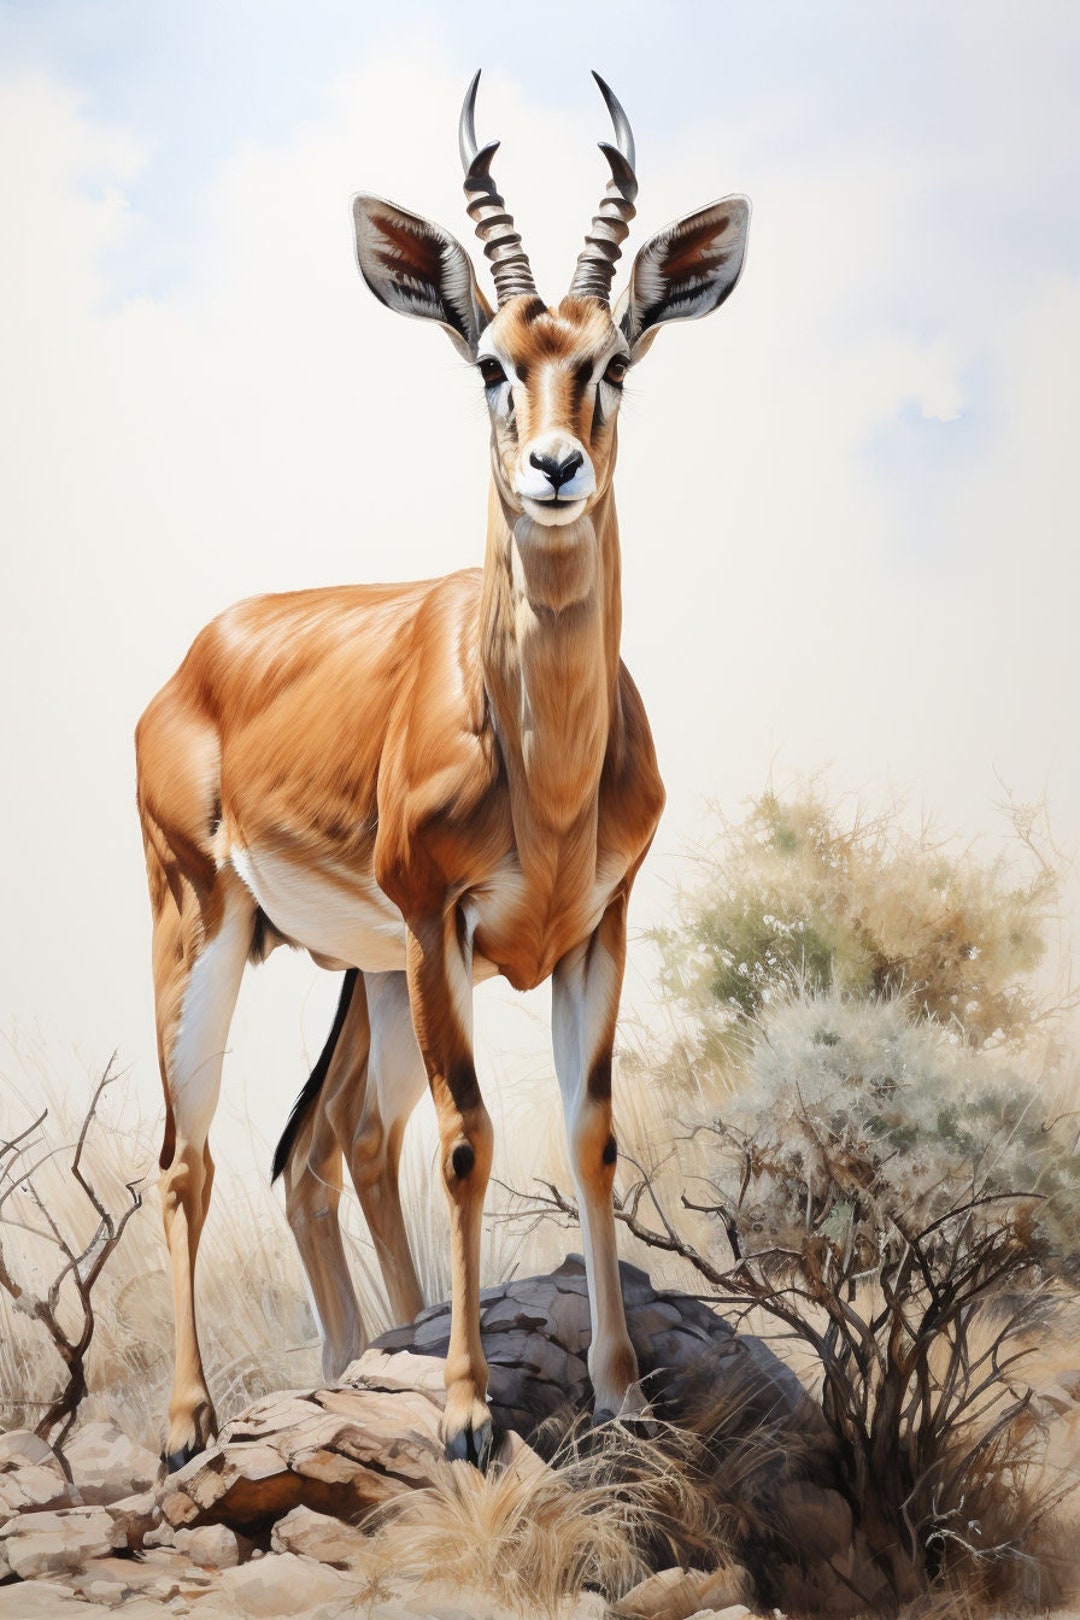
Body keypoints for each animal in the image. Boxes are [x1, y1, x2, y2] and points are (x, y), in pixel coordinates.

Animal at [136, 71, 750, 1470]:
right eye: (489, 362)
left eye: (612, 358)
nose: (555, 467)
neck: (546, 772)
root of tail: (202, 652)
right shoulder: (437, 923)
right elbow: (471, 1140)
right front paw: (469, 1410)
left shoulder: (595, 933)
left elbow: (589, 1135)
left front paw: (621, 1396)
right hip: (210, 926)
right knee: (191, 1156)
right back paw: (191, 1424)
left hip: (362, 971)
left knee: (333, 1144)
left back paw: (370, 1351)